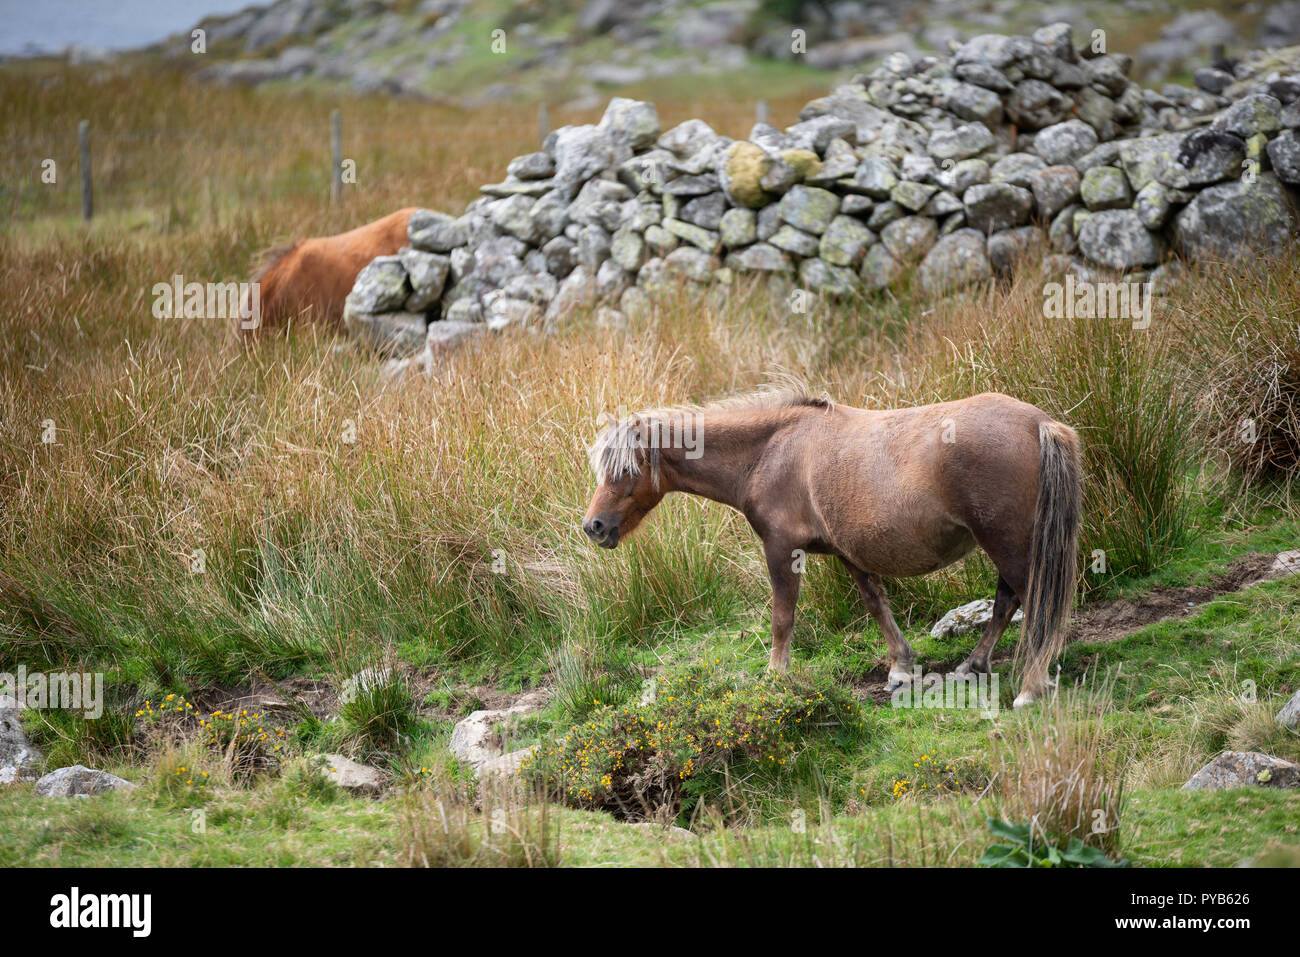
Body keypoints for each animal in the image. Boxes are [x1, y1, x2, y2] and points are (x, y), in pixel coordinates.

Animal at [582, 388, 1082, 707]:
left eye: (626, 471)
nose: (594, 526)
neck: (773, 451)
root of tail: (1041, 423)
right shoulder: (848, 551)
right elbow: (876, 603)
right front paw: (901, 668)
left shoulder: (781, 549)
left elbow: (783, 618)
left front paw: (775, 677)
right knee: (1007, 601)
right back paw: (974, 664)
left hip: (1007, 543)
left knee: (1030, 599)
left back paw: (1029, 687)